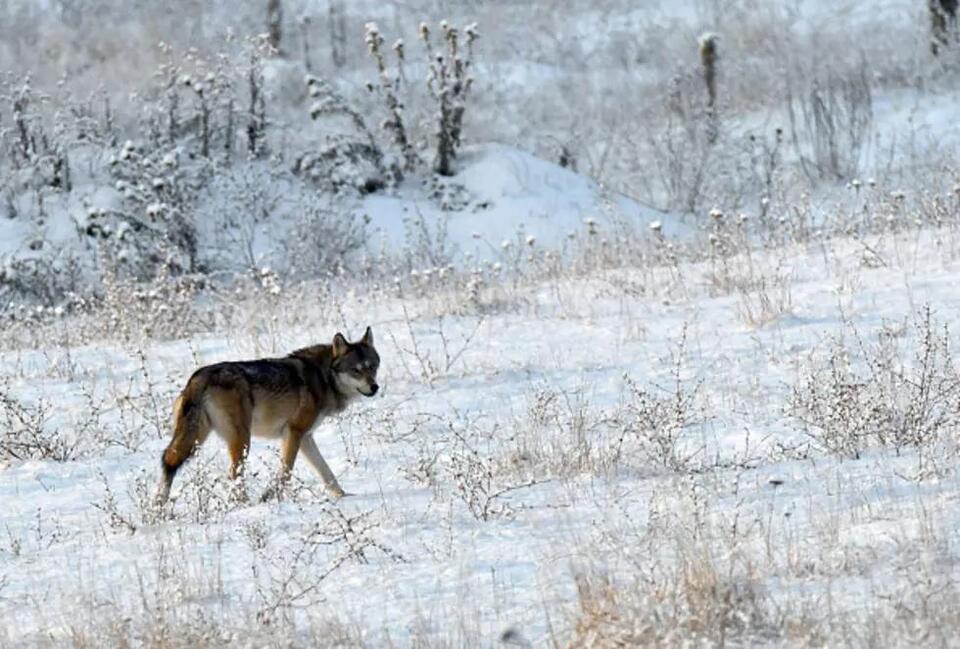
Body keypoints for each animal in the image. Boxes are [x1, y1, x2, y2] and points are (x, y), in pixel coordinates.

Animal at [158, 327, 379, 502]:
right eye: (356, 371)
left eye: (373, 367)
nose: (375, 387)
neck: (323, 377)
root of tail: (198, 377)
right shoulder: (294, 432)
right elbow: (286, 471)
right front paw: (271, 498)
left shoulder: (306, 438)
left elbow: (326, 472)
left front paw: (343, 497)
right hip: (241, 441)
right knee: (233, 476)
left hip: (198, 440)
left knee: (168, 459)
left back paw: (159, 506)